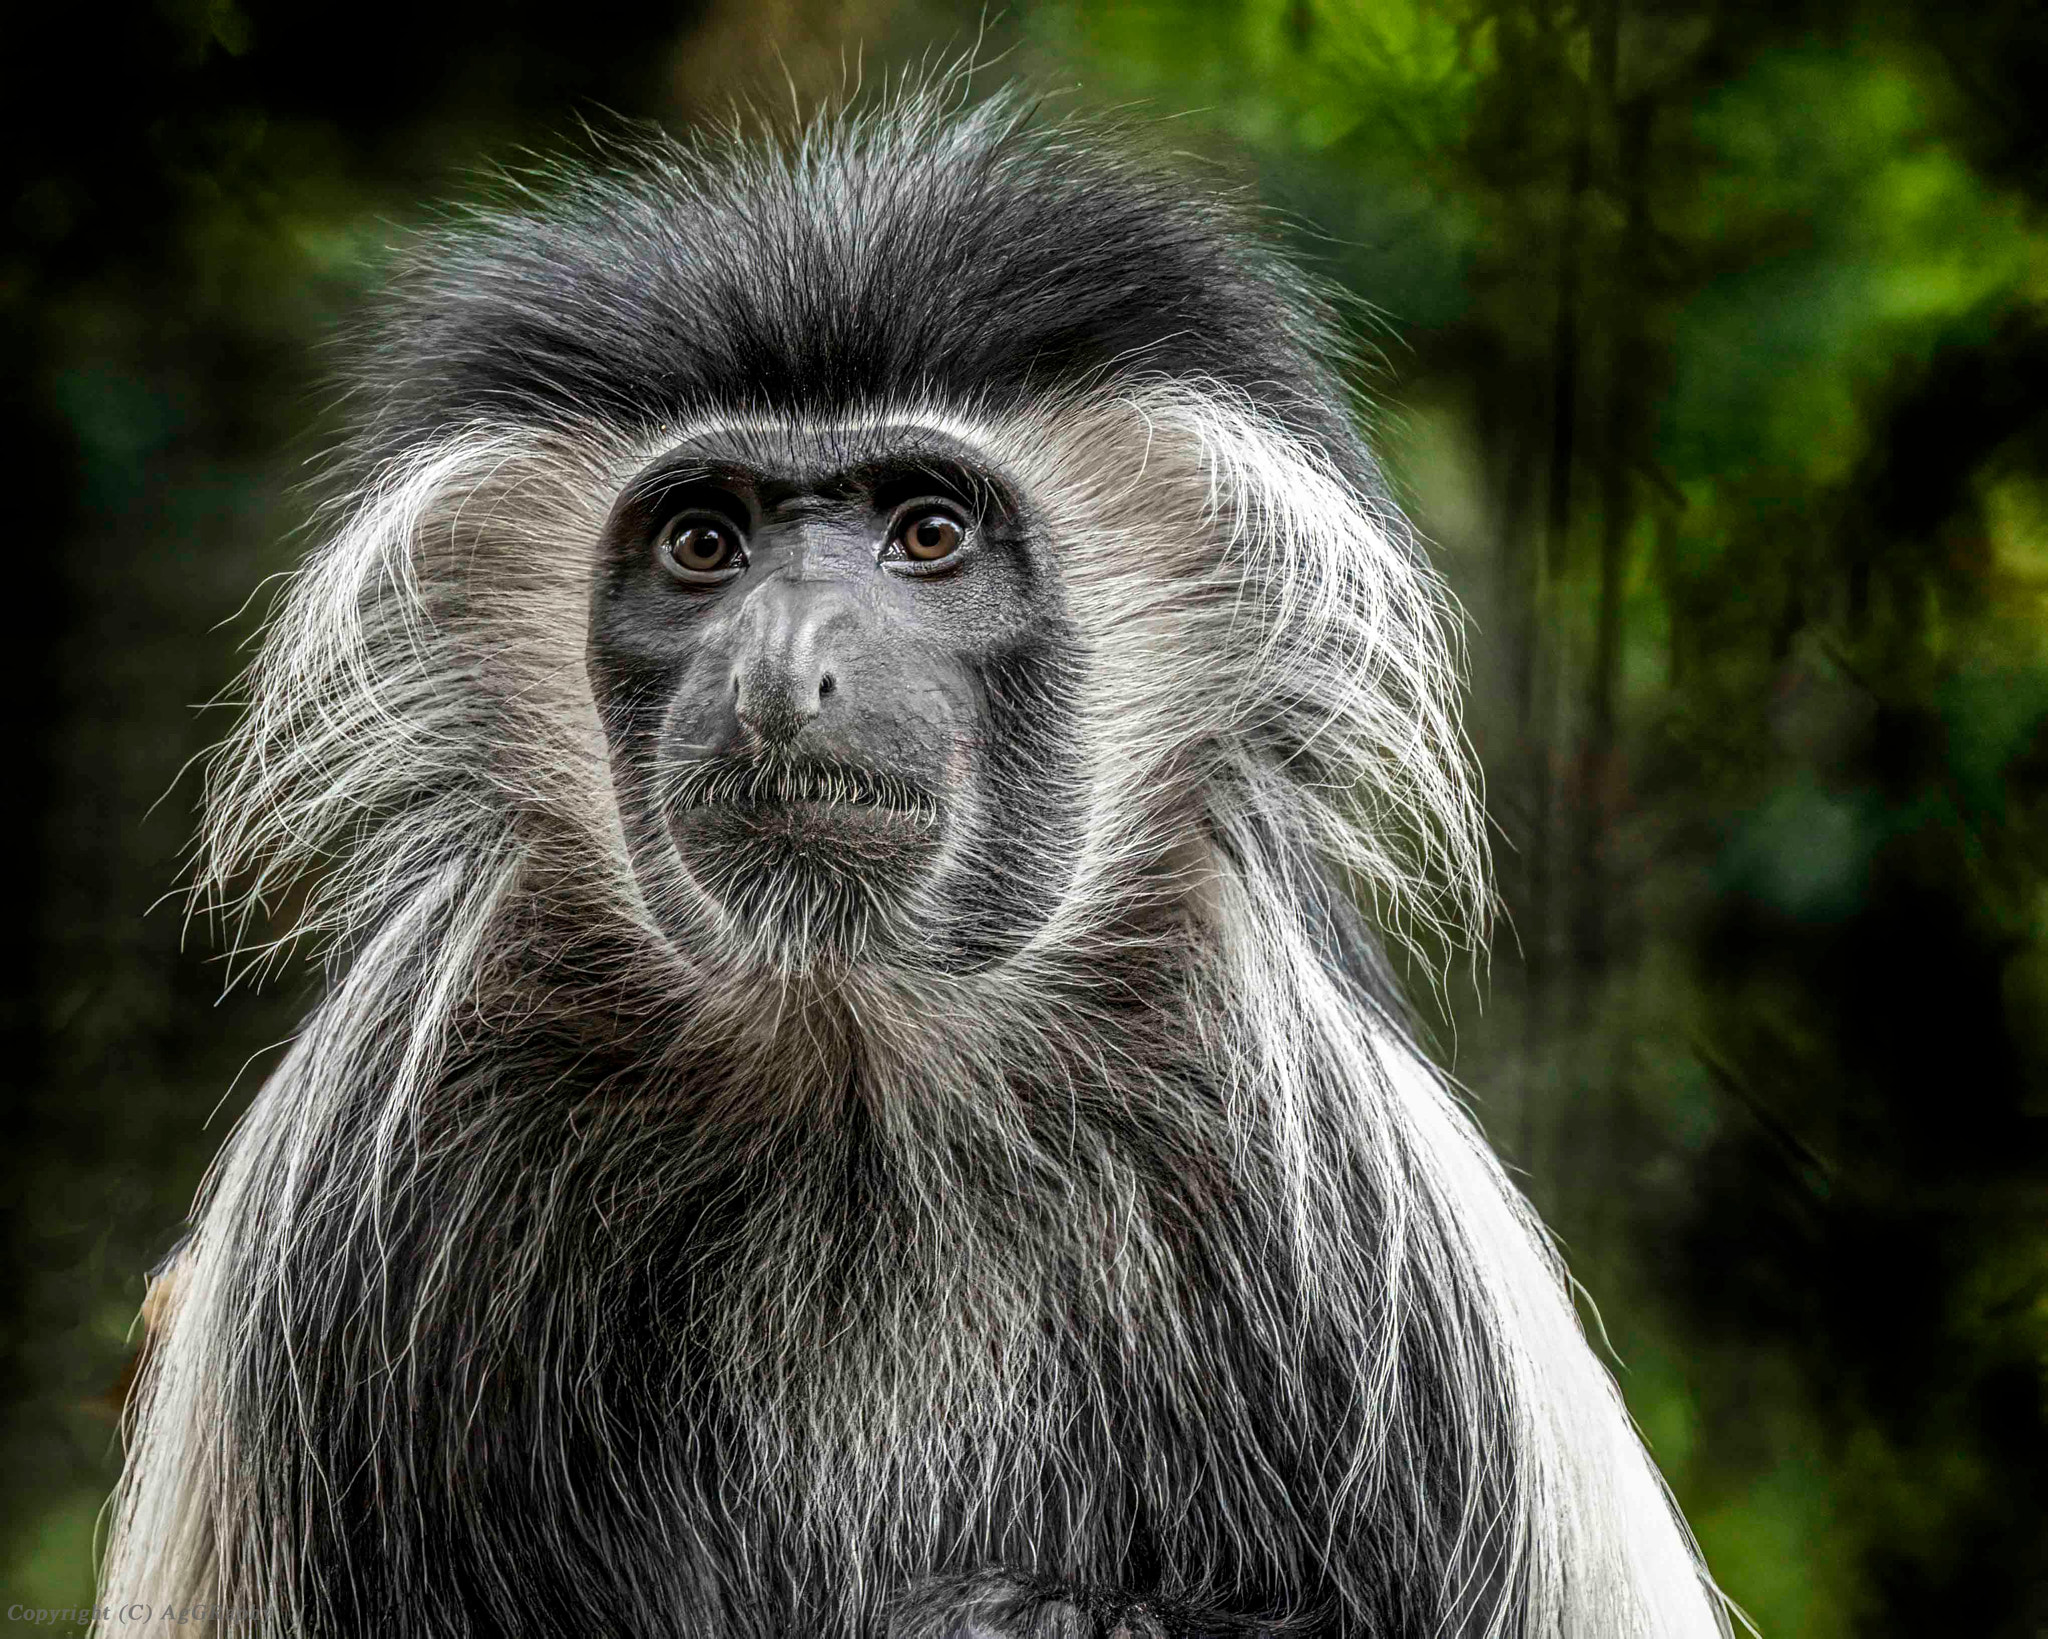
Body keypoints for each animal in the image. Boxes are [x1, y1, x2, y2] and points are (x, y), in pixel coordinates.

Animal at [101, 84, 1731, 1639]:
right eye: (703, 544)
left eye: (929, 532)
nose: (781, 668)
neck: (853, 1077)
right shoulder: (360, 1204)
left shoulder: (1359, 1230)